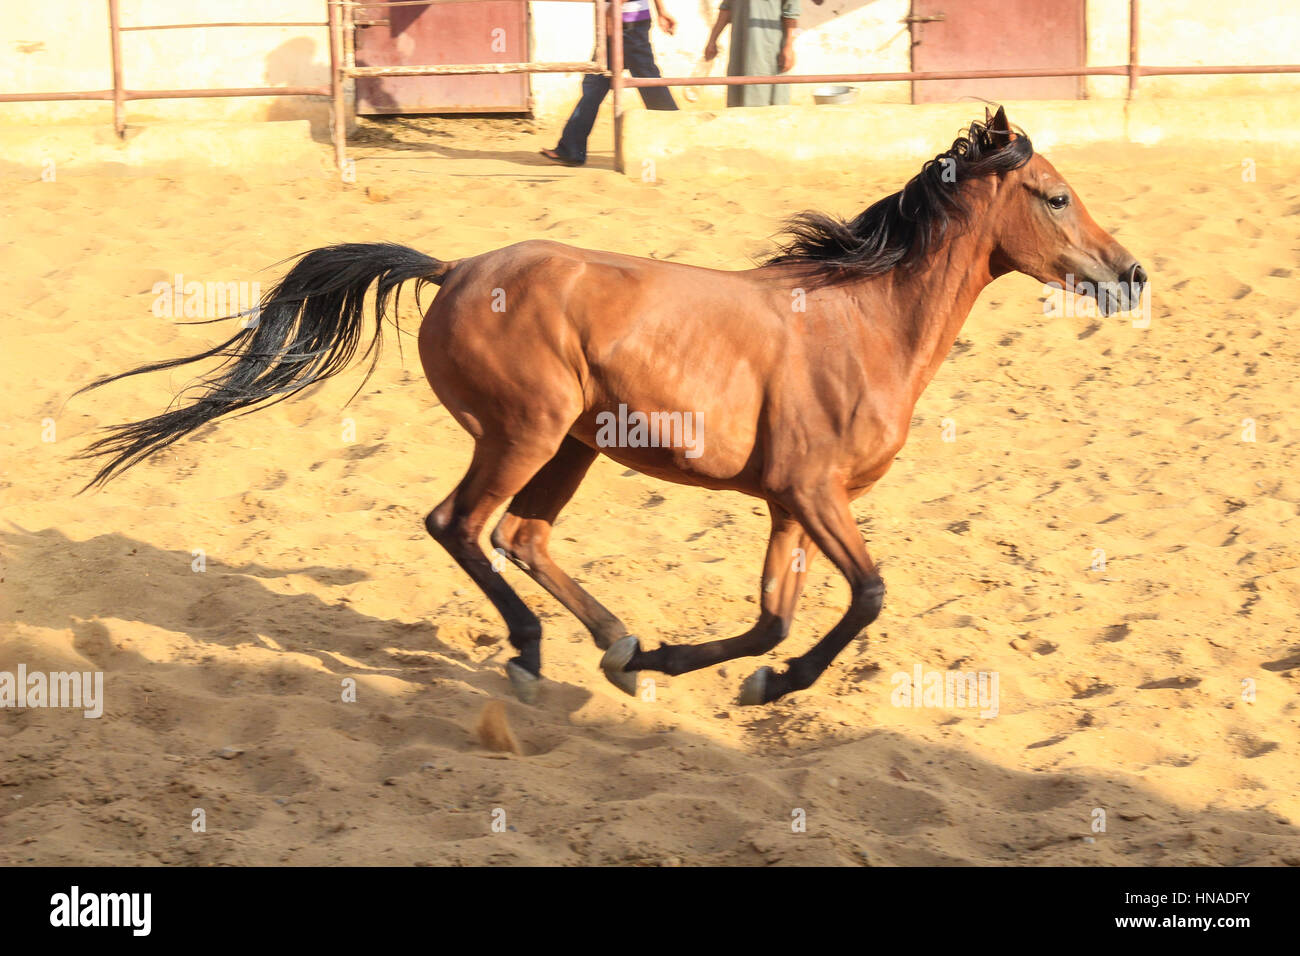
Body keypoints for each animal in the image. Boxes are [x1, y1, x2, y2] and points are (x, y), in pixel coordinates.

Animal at [77, 107, 1146, 707]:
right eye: (1054, 196)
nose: (1130, 274)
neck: (865, 318)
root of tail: (455, 269)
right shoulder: (814, 495)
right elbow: (867, 599)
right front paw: (760, 685)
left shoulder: (792, 503)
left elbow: (774, 620)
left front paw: (711, 669)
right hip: (527, 431)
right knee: (461, 524)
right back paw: (531, 657)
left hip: (576, 445)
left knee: (522, 536)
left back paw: (621, 649)